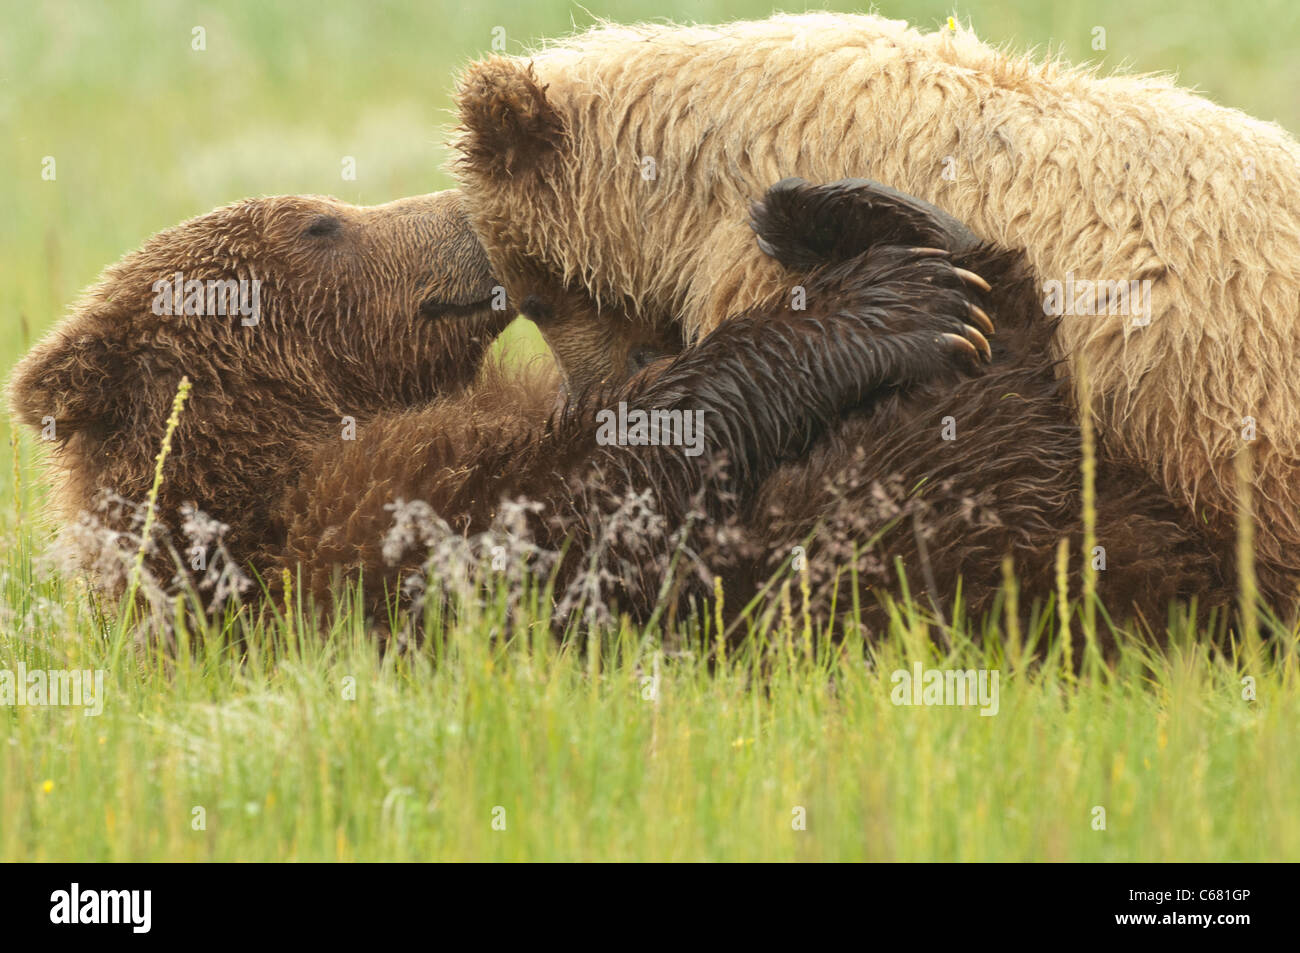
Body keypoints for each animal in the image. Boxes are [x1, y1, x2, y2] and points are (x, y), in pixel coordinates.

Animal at [277, 178, 1229, 652]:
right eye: (320, 224)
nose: (460, 221)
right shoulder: (371, 514)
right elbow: (608, 487)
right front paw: (888, 306)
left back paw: (839, 210)